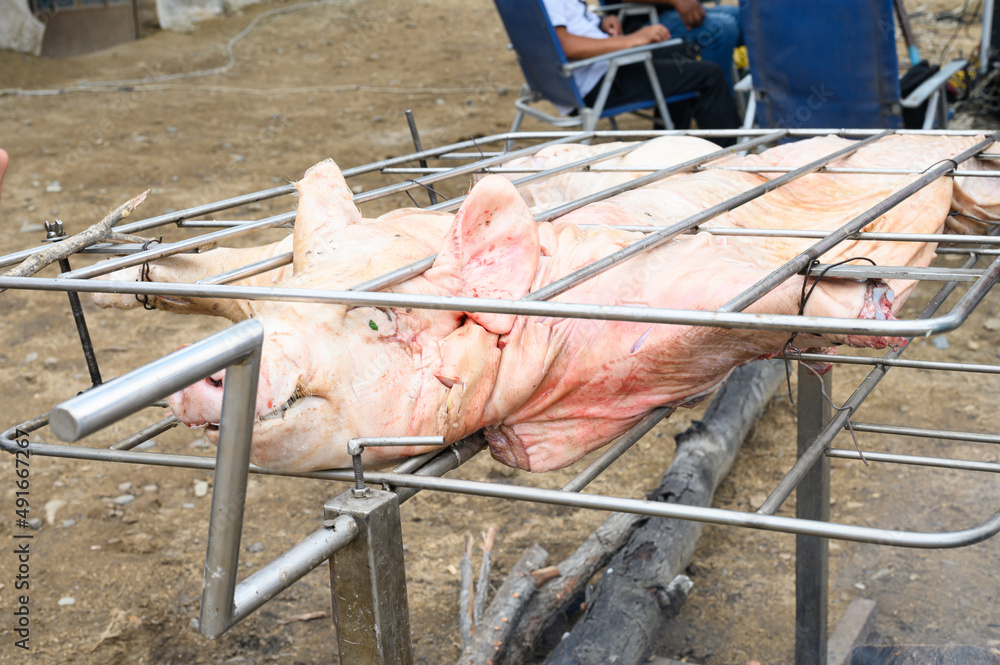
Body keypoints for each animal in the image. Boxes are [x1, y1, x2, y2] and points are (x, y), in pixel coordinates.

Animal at [92, 134, 998, 472]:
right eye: (264, 315)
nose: (210, 376)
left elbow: (771, 292)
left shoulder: (680, 287)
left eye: (380, 320)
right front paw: (140, 272)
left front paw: (874, 307)